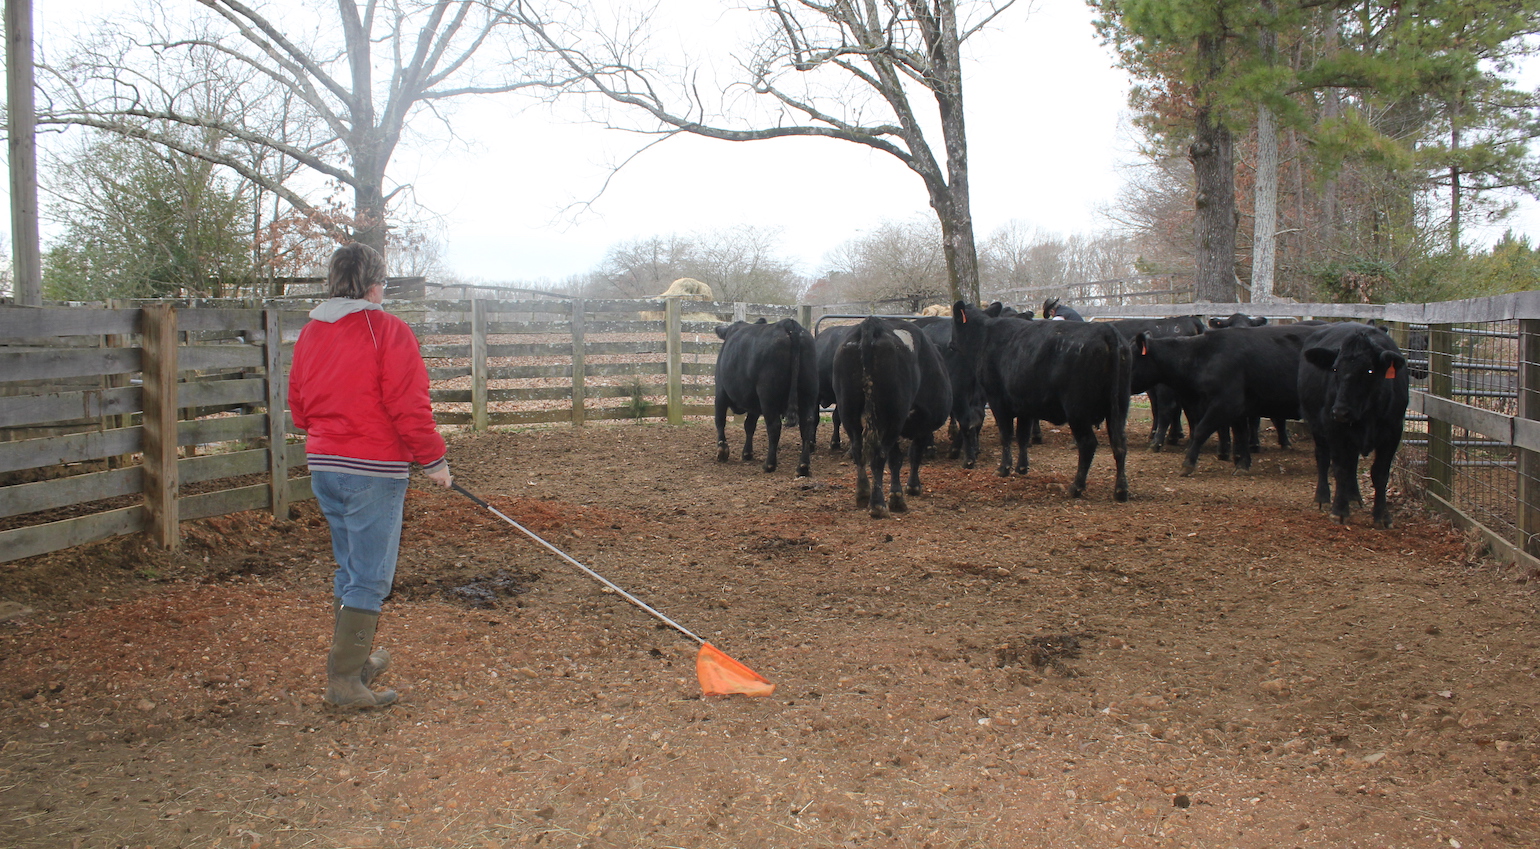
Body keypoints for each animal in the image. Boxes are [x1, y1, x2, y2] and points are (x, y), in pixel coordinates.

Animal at [713, 318, 819, 476]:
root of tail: (788, 324)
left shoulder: (720, 392)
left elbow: (720, 420)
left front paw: (722, 450)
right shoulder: (754, 404)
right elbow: (749, 425)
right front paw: (747, 453)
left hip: (768, 397)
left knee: (774, 426)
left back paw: (769, 464)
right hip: (809, 394)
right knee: (807, 425)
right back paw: (803, 466)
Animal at [832, 317, 952, 518]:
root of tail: (872, 324)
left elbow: (896, 458)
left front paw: (897, 494)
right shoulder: (923, 423)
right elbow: (914, 453)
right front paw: (911, 488)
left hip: (848, 410)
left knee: (859, 451)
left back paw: (863, 494)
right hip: (892, 416)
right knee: (878, 456)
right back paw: (878, 504)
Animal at [950, 301, 1131, 501]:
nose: (950, 344)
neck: (985, 337)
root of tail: (1106, 330)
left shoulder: (998, 400)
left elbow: (1006, 434)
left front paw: (1003, 469)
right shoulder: (1024, 405)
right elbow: (1022, 435)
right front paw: (1022, 468)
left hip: (1077, 411)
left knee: (1088, 443)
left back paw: (1076, 487)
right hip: (1119, 407)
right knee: (1119, 444)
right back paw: (1120, 490)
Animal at [1131, 323, 1316, 476]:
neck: (1203, 357)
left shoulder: (1226, 404)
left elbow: (1200, 430)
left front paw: (1187, 464)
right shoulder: (1238, 410)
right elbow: (1241, 434)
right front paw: (1242, 464)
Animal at [1298, 322, 1410, 528]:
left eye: (1369, 370)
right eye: (1335, 369)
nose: (1341, 411)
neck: (1368, 414)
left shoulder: (1393, 431)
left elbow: (1380, 473)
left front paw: (1382, 515)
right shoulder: (1333, 427)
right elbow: (1340, 468)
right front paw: (1339, 511)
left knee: (1352, 462)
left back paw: (1354, 496)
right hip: (1316, 424)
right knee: (1323, 457)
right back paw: (1322, 497)